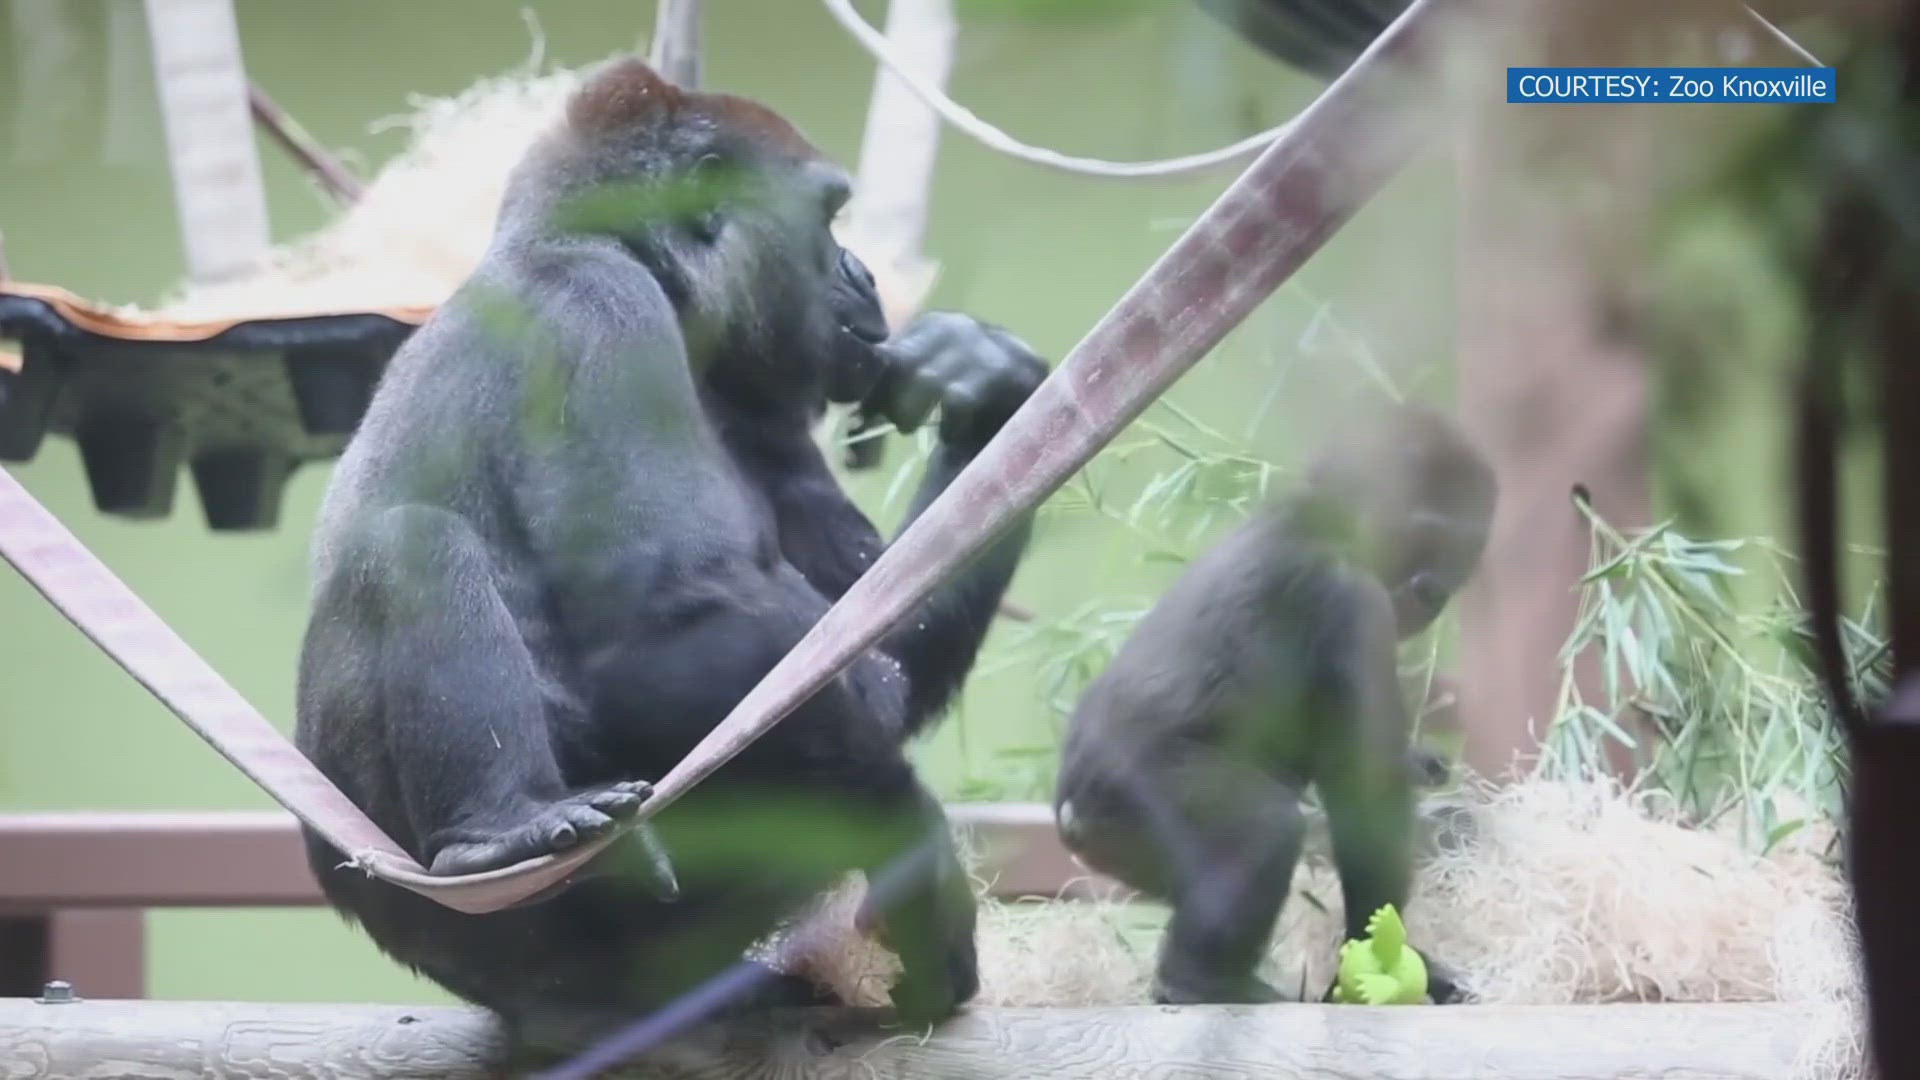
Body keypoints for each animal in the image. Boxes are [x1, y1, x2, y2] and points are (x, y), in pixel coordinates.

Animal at [293, 57, 1046, 1064]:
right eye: (828, 217)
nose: (861, 274)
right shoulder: (600, 308)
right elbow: (675, 624)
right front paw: (912, 847)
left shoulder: (759, 396)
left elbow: (873, 643)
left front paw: (986, 386)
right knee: (410, 545)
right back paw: (502, 831)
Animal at [1052, 402, 1494, 1006]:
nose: (1434, 595)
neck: (1312, 514)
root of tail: (1070, 815)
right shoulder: (1354, 601)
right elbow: (1363, 793)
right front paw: (1374, 953)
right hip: (1125, 800)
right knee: (1263, 833)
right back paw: (1199, 981)